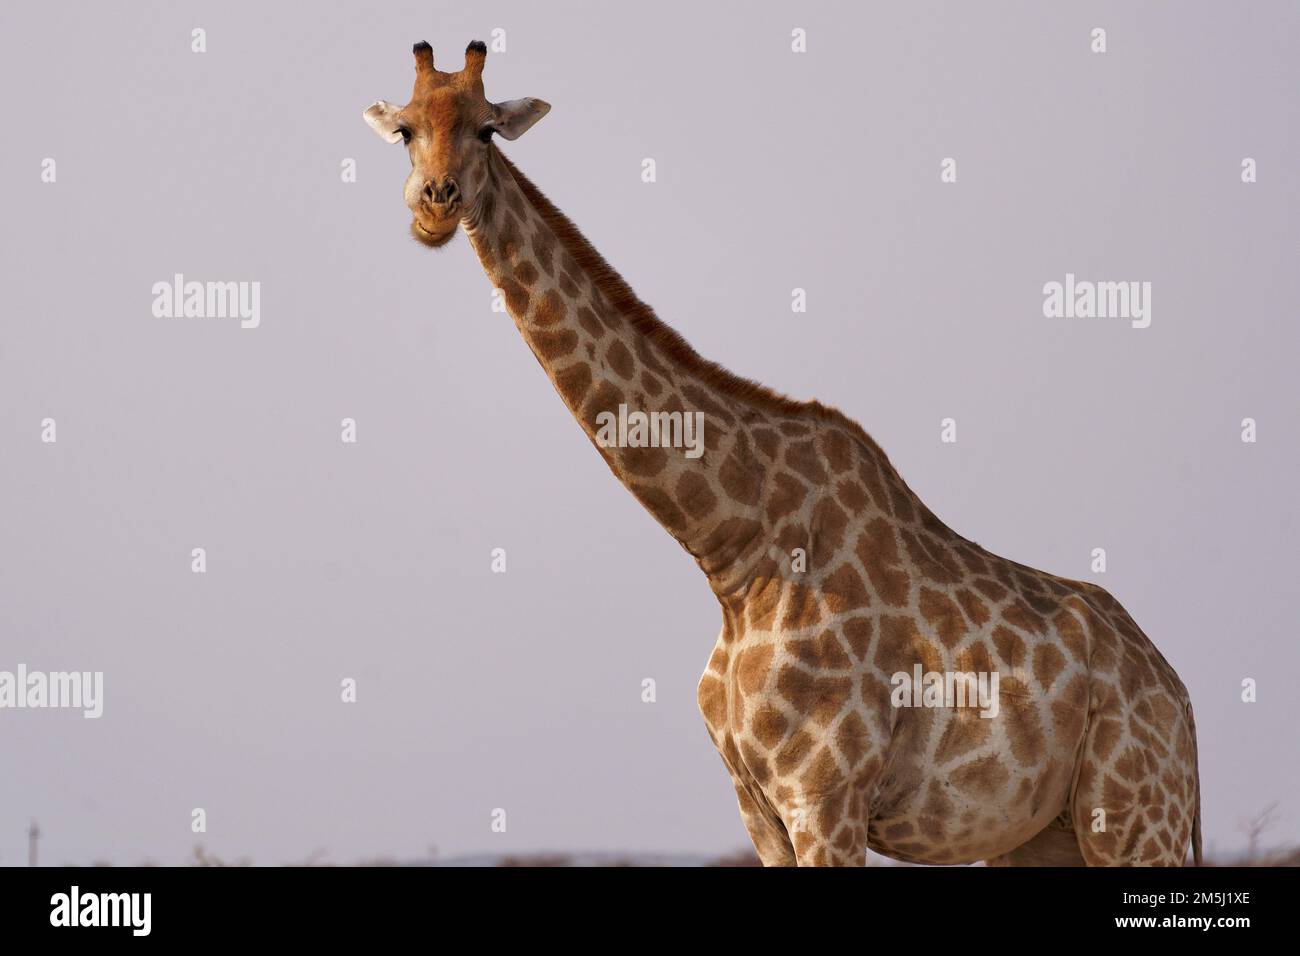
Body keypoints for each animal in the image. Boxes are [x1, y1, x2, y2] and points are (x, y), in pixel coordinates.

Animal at [363, 41, 1203, 867]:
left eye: (487, 130)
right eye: (405, 129)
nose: (434, 203)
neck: (733, 555)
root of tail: (1181, 701)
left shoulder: (825, 796)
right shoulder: (758, 808)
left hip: (1132, 819)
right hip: (1037, 837)